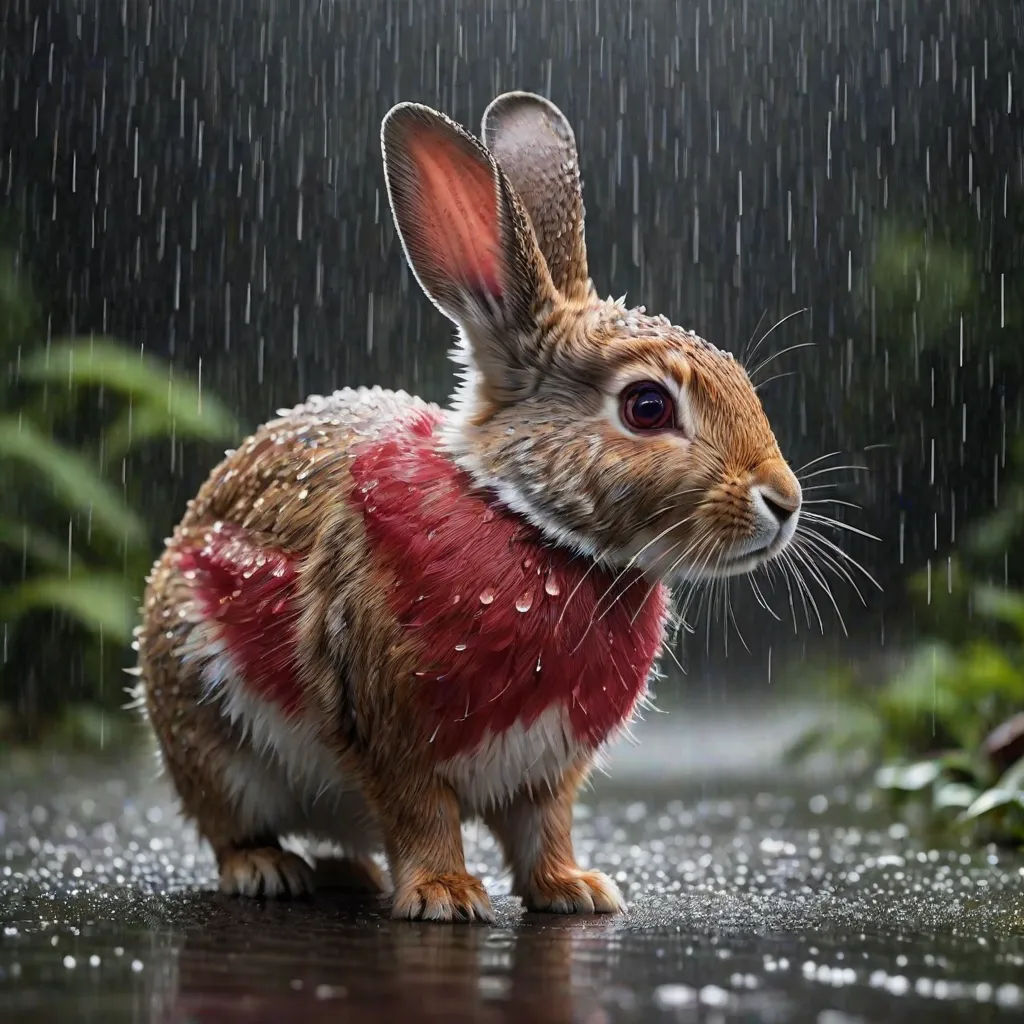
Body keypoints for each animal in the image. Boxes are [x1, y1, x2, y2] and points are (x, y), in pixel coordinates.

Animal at [135, 91, 803, 922]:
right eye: (647, 407)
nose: (785, 502)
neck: (535, 527)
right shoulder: (390, 731)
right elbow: (423, 814)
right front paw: (444, 896)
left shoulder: (549, 767)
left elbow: (545, 828)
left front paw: (577, 890)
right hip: (199, 716)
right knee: (229, 822)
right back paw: (268, 870)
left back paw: (354, 873)